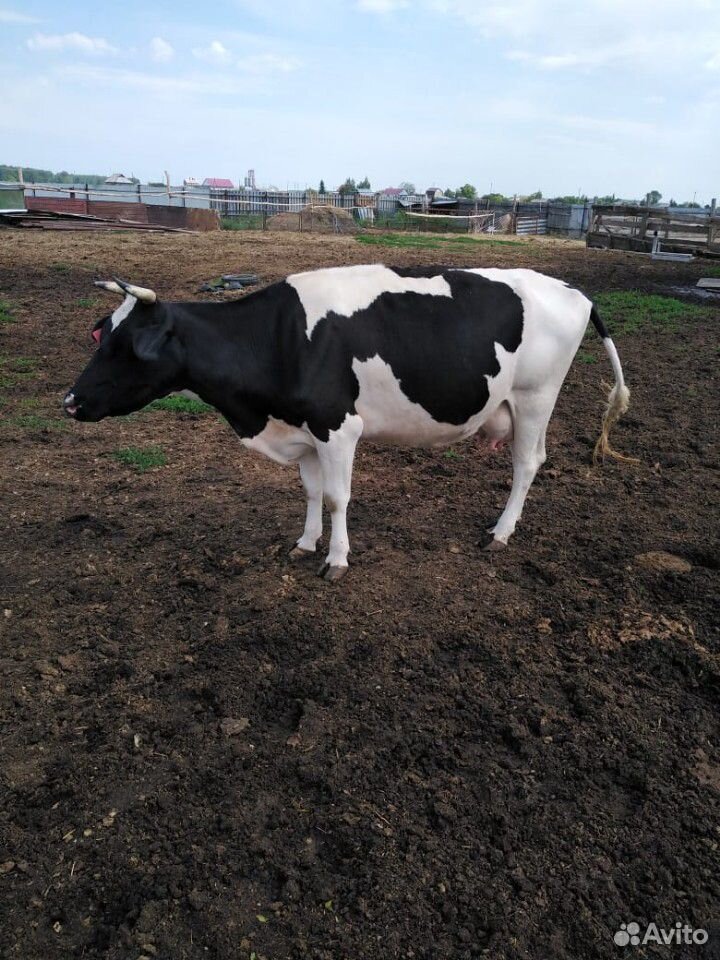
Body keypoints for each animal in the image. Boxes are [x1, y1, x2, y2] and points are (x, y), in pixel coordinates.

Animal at [64, 266, 632, 581]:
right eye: (101, 336)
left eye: (125, 346)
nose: (69, 401)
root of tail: (573, 289)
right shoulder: (305, 431)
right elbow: (313, 492)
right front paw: (305, 542)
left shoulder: (338, 428)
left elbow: (338, 497)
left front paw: (335, 559)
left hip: (536, 397)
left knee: (527, 464)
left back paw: (501, 532)